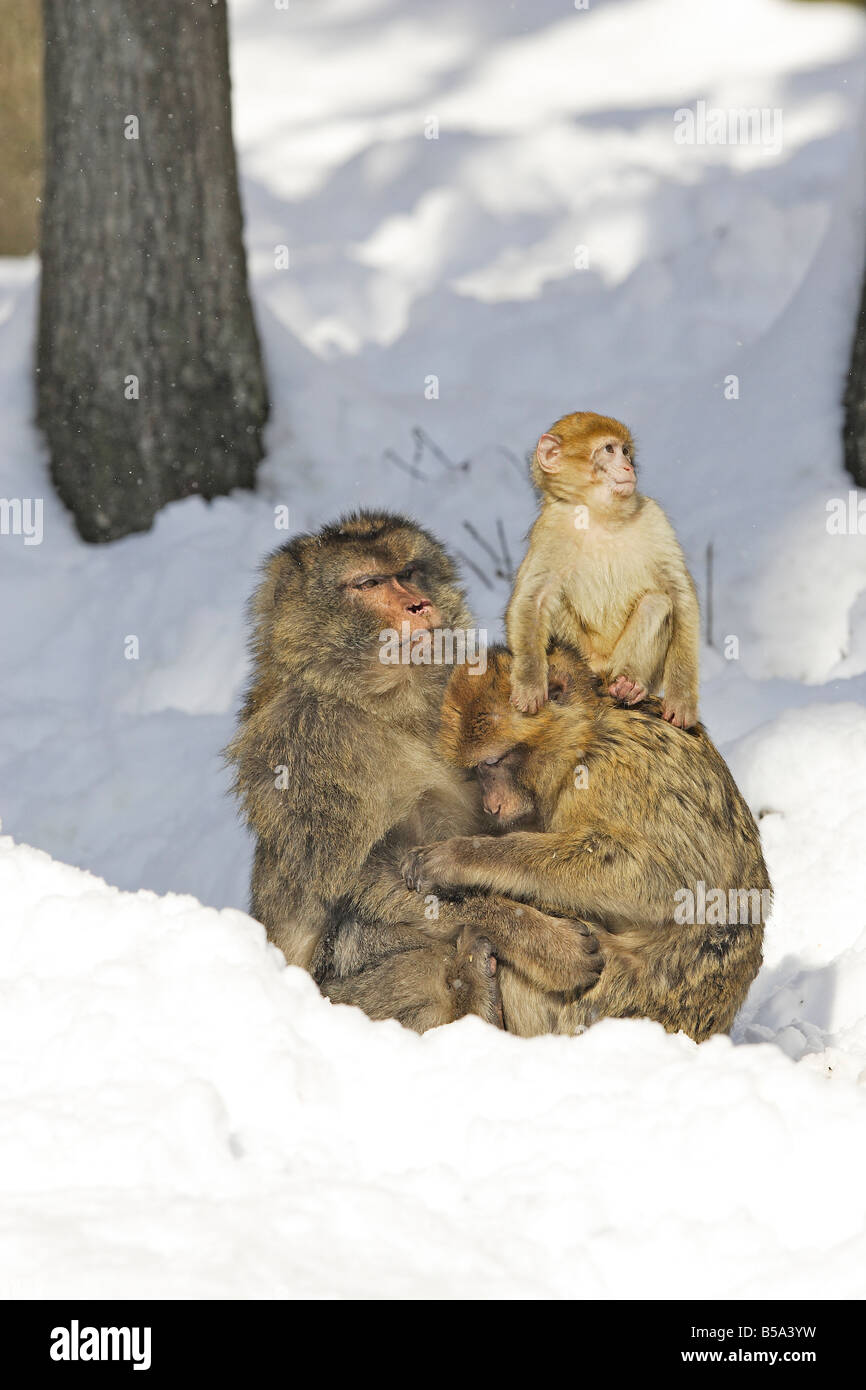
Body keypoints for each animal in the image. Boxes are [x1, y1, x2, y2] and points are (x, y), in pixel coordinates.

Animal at [225, 511, 604, 1033]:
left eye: (408, 573)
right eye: (369, 583)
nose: (419, 604)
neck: (388, 702)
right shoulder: (309, 742)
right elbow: (357, 878)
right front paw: (534, 936)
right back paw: (474, 995)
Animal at [400, 643, 770, 1041]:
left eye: (493, 762)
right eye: (477, 770)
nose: (491, 804)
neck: (583, 742)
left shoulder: (616, 772)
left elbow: (666, 882)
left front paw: (461, 858)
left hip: (615, 1002)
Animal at [506, 411, 700, 728]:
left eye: (626, 451)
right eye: (609, 450)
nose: (628, 466)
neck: (599, 516)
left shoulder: (654, 517)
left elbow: (679, 594)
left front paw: (682, 699)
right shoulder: (550, 529)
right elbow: (533, 600)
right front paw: (529, 684)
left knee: (658, 602)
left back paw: (630, 685)